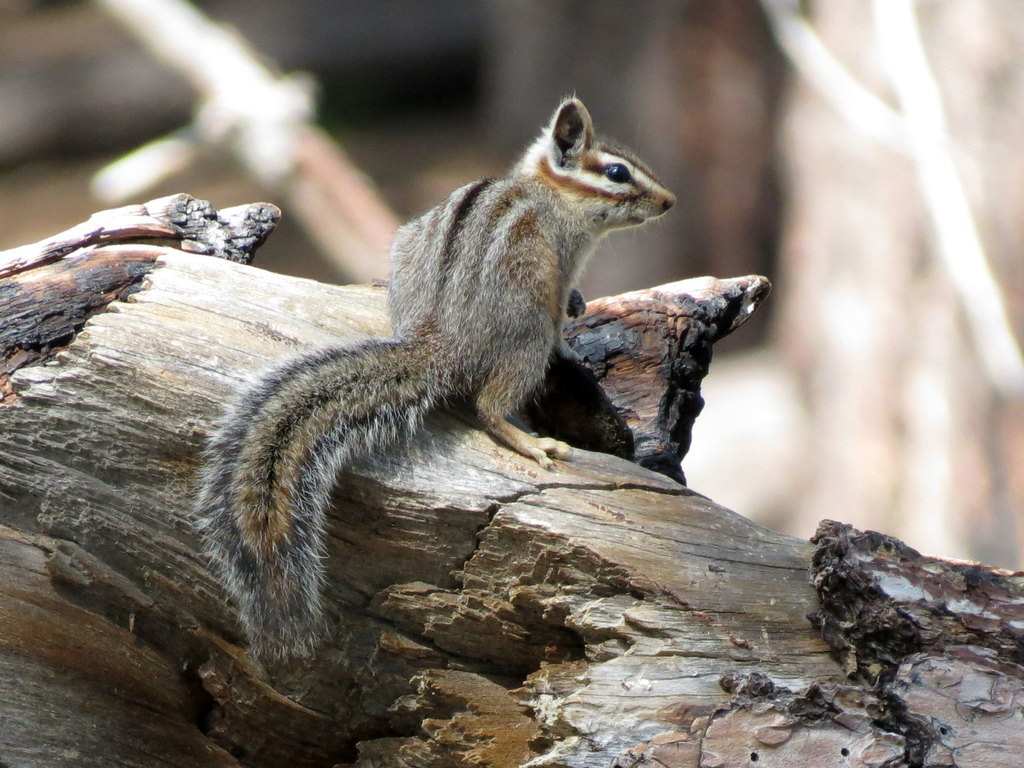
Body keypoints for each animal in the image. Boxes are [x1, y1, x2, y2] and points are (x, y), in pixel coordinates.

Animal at [195, 97, 675, 658]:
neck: (547, 190)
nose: (669, 201)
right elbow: (562, 316)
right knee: (490, 406)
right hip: (527, 335)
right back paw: (531, 442)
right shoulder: (562, 262)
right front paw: (573, 337)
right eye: (617, 173)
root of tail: (439, 342)